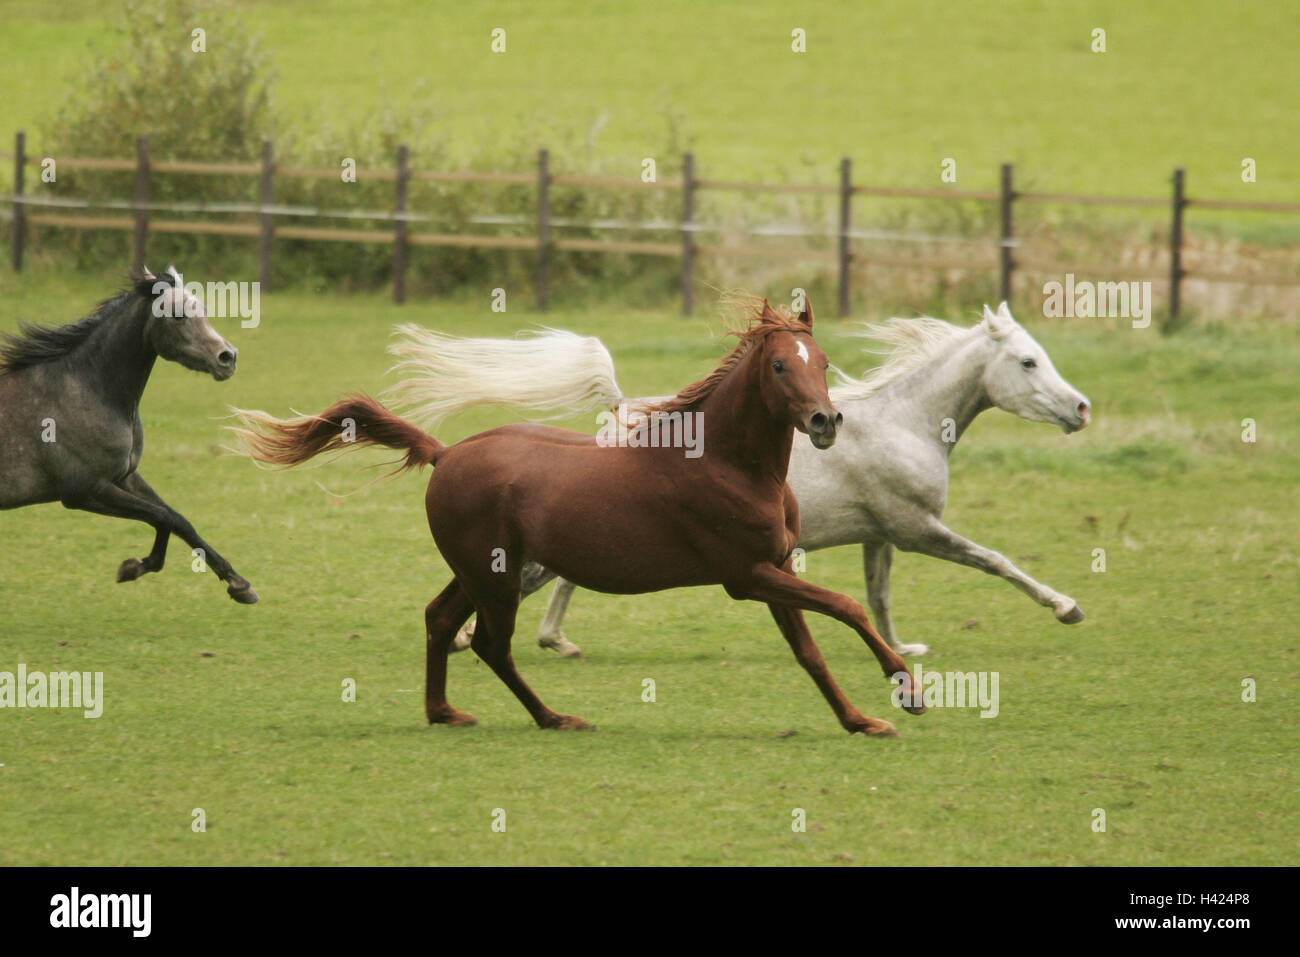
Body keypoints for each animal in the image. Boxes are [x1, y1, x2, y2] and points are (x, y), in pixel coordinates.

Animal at [0, 267, 258, 603]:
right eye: (177, 315)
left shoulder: (125, 476)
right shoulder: (85, 491)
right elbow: (165, 517)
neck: (86, 390)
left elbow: (178, 519)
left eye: (202, 309)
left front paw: (239, 584)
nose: (228, 357)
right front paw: (134, 567)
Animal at [231, 297, 926, 737]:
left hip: (481, 572)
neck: (729, 463)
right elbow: (848, 606)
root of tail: (446, 452)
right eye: (781, 365)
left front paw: (862, 721)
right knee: (489, 643)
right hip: (495, 577)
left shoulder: (773, 569)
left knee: (440, 620)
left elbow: (810, 651)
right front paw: (907, 689)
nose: (826, 422)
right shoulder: (747, 576)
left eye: (824, 363)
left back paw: (445, 713)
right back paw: (554, 718)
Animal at [388, 302, 1090, 659]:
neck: (905, 420)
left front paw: (901, 649)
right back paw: (499, 637)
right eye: (1028, 361)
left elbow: (881, 594)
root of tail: (620, 411)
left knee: (554, 579)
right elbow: (996, 560)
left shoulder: (883, 533)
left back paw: (541, 639)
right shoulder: (918, 528)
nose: (1081, 408)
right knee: (541, 579)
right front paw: (1067, 607)